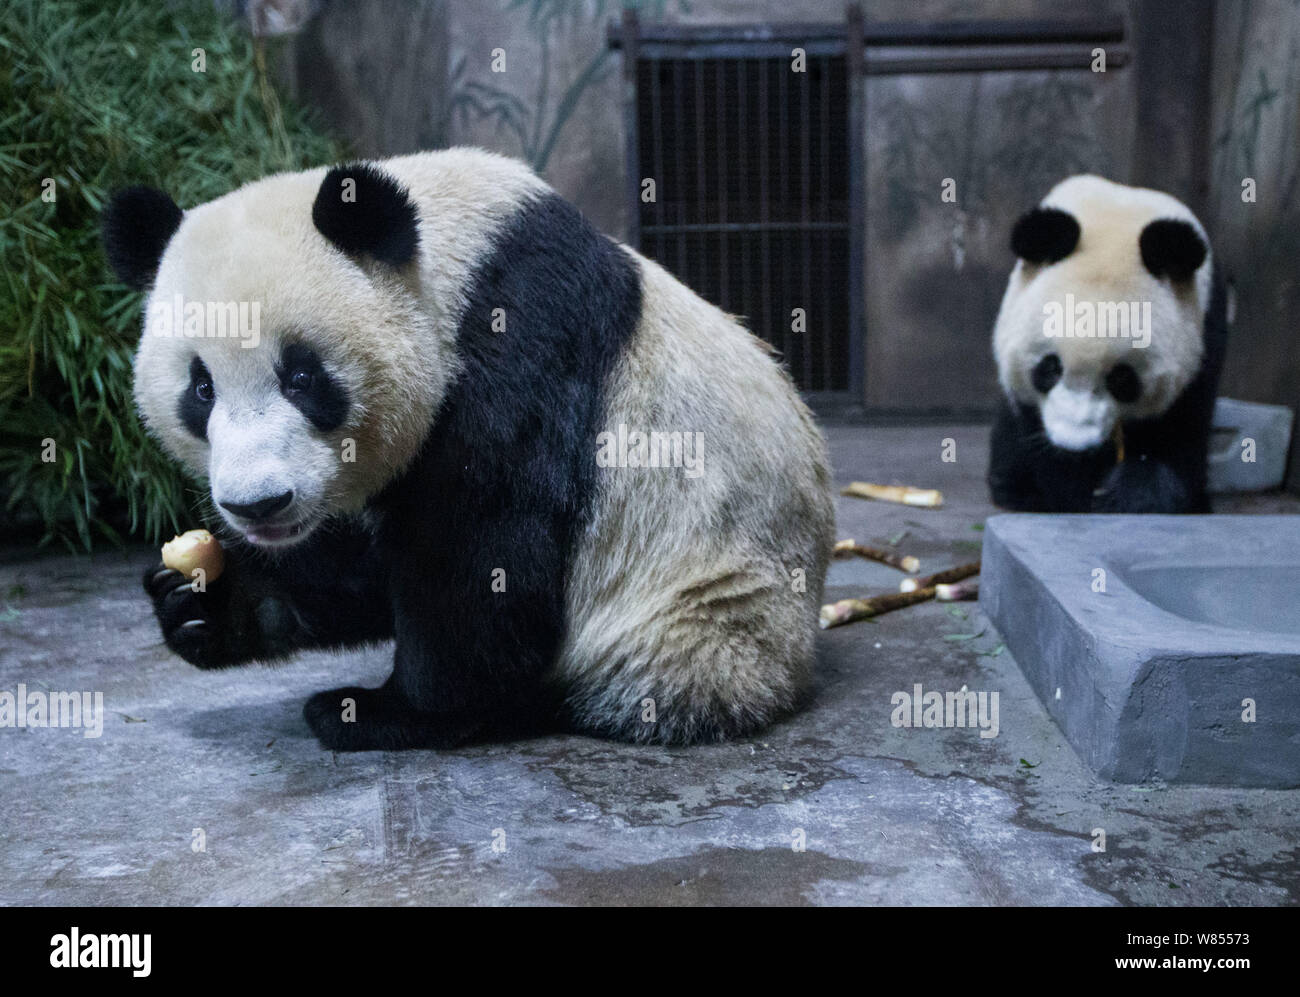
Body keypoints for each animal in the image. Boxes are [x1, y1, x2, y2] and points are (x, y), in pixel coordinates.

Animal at [101, 148, 835, 751]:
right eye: (200, 389)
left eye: (303, 377)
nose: (258, 504)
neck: (455, 253)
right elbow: (378, 559)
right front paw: (202, 599)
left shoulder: (521, 344)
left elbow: (483, 552)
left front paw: (384, 712)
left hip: (701, 615)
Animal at [987, 174, 1228, 514]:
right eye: (1049, 368)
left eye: (1122, 379)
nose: (1073, 444)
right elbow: (1038, 439)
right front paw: (1074, 495)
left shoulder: (1205, 333)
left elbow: (1181, 429)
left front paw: (1133, 494)